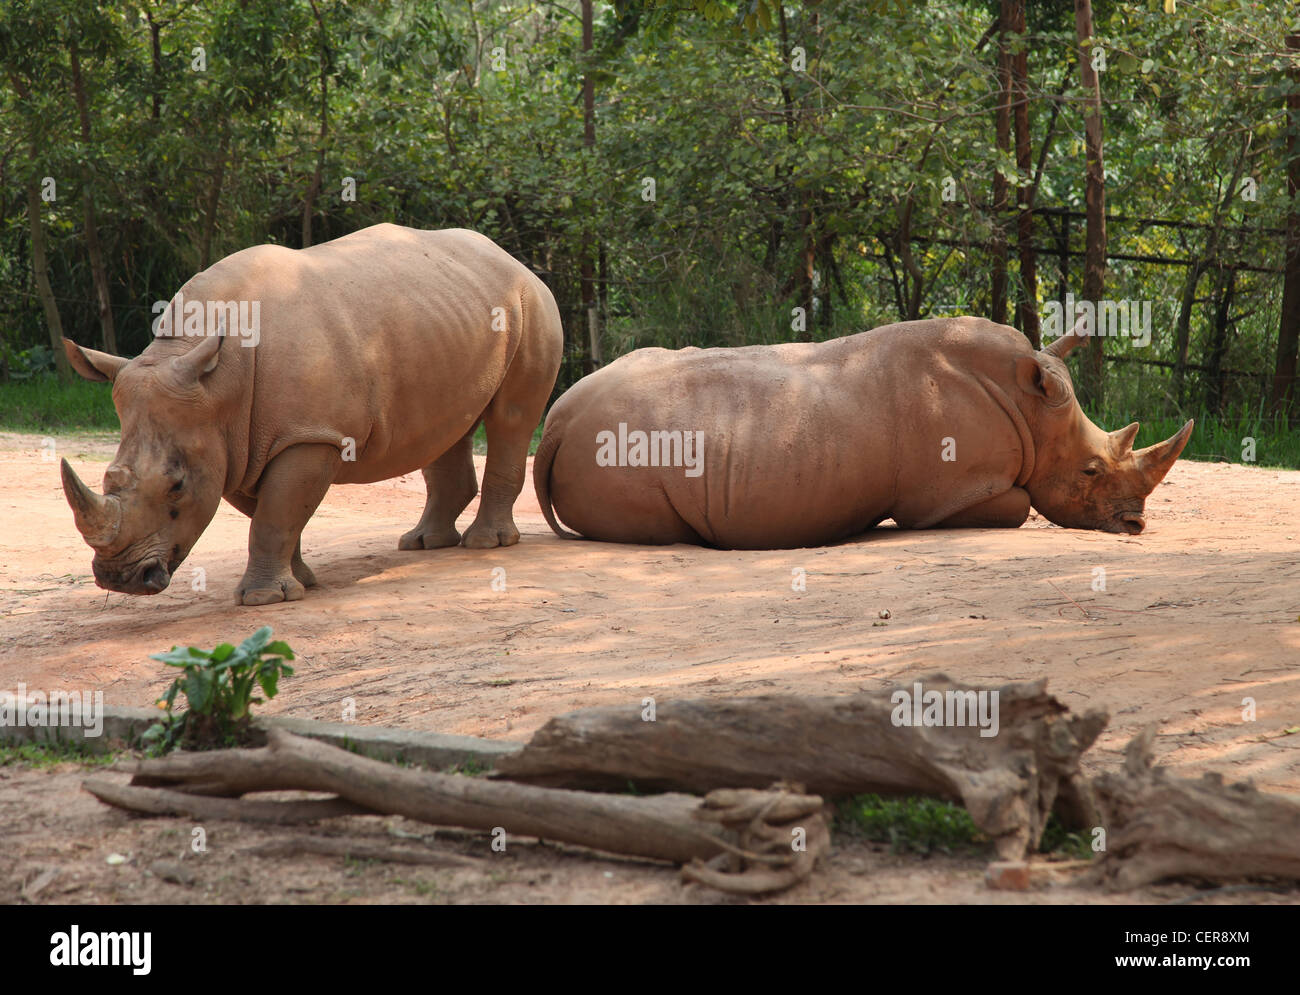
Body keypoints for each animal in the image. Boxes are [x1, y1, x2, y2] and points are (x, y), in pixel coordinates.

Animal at [61, 224, 563, 604]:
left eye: (176, 486)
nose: (120, 579)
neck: (219, 385)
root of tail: (514, 260)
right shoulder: (240, 442)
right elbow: (275, 513)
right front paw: (300, 582)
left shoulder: (307, 435)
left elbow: (275, 514)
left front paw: (264, 599)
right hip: (452, 313)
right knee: (445, 426)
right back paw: (422, 543)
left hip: (530, 304)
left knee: (510, 417)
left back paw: (485, 544)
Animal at [533, 316, 1193, 548]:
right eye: (1090, 471)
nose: (1134, 526)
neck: (1028, 407)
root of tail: (557, 420)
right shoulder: (948, 497)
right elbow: (1018, 503)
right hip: (620, 447)